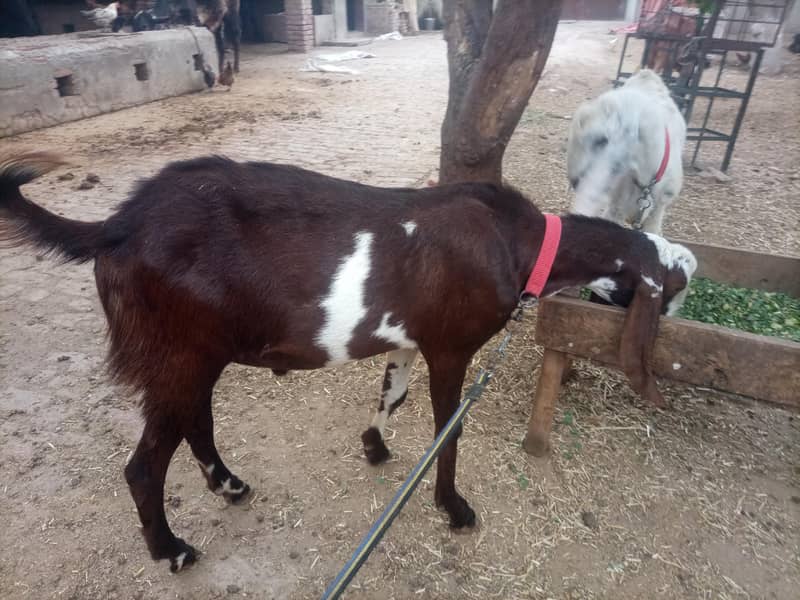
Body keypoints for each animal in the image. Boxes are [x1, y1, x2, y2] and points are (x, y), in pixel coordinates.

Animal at [0, 152, 697, 572]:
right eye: (676, 284)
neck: (518, 242)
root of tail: (116, 225)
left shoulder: (413, 341)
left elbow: (394, 393)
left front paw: (374, 446)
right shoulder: (451, 346)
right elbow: (448, 430)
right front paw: (454, 509)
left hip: (198, 355)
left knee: (196, 422)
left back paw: (230, 486)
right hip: (178, 353)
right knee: (145, 466)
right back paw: (171, 551)